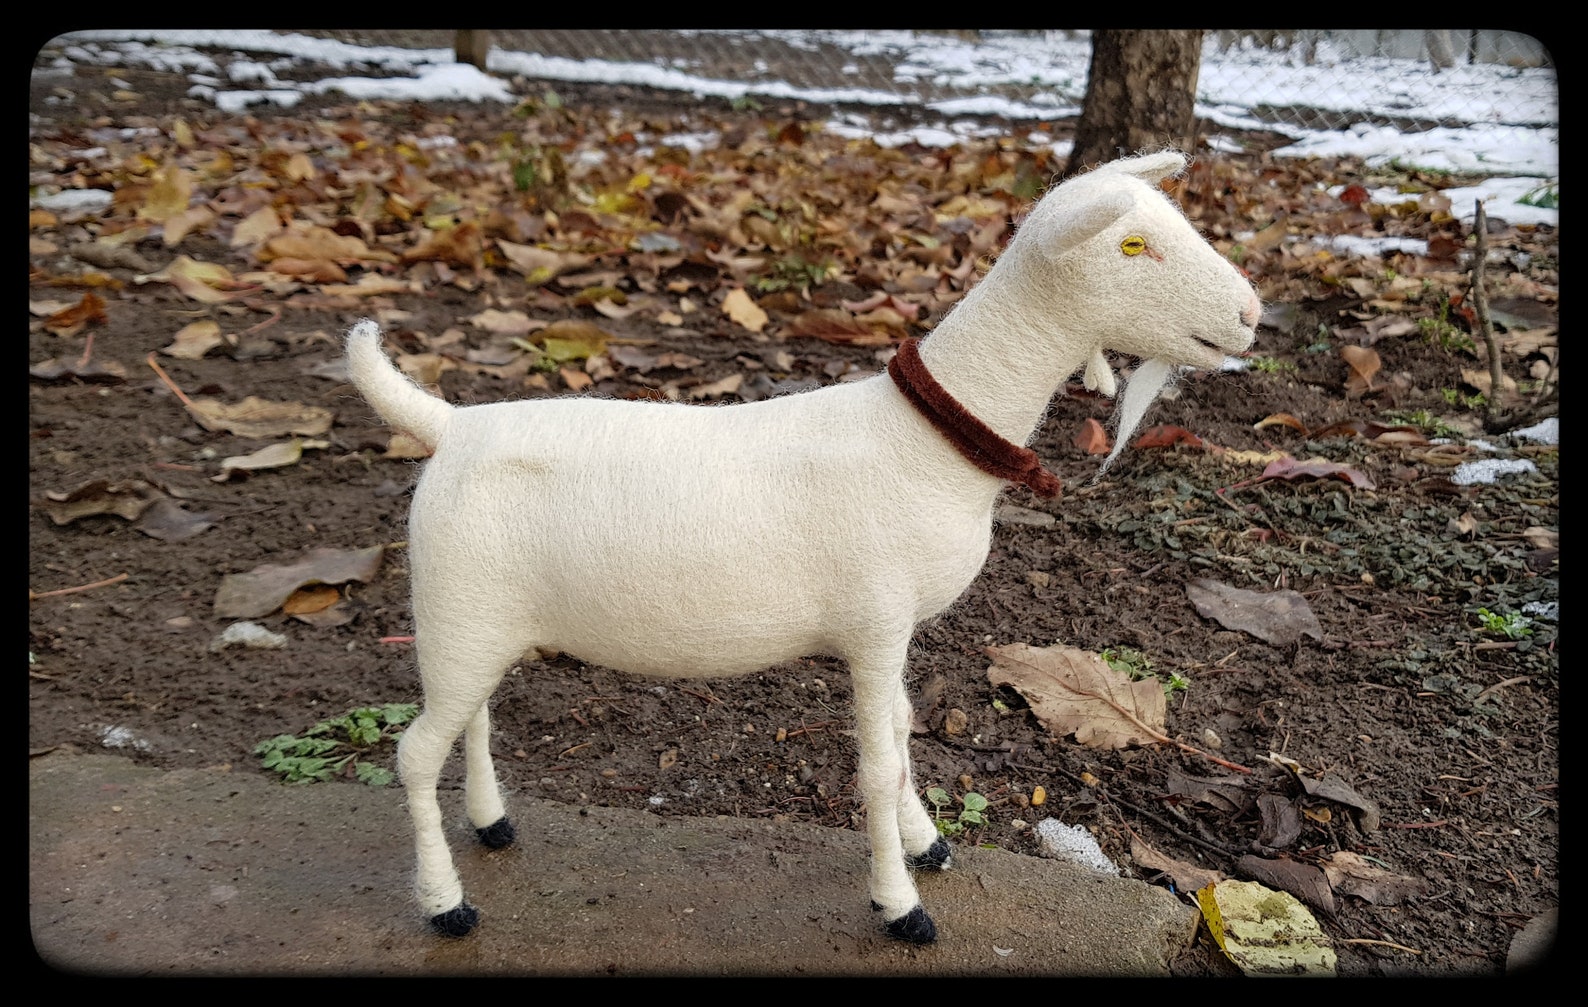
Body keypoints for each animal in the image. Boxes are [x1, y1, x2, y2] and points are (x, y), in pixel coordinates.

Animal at [345, 150, 1260, 945]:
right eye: (1132, 245)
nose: (1252, 314)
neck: (926, 439)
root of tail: (450, 424)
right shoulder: (875, 623)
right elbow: (878, 765)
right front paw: (902, 906)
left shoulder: (893, 631)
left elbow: (903, 733)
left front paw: (928, 844)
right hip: (458, 610)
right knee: (416, 752)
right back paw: (446, 903)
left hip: (477, 618)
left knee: (474, 719)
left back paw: (493, 823)